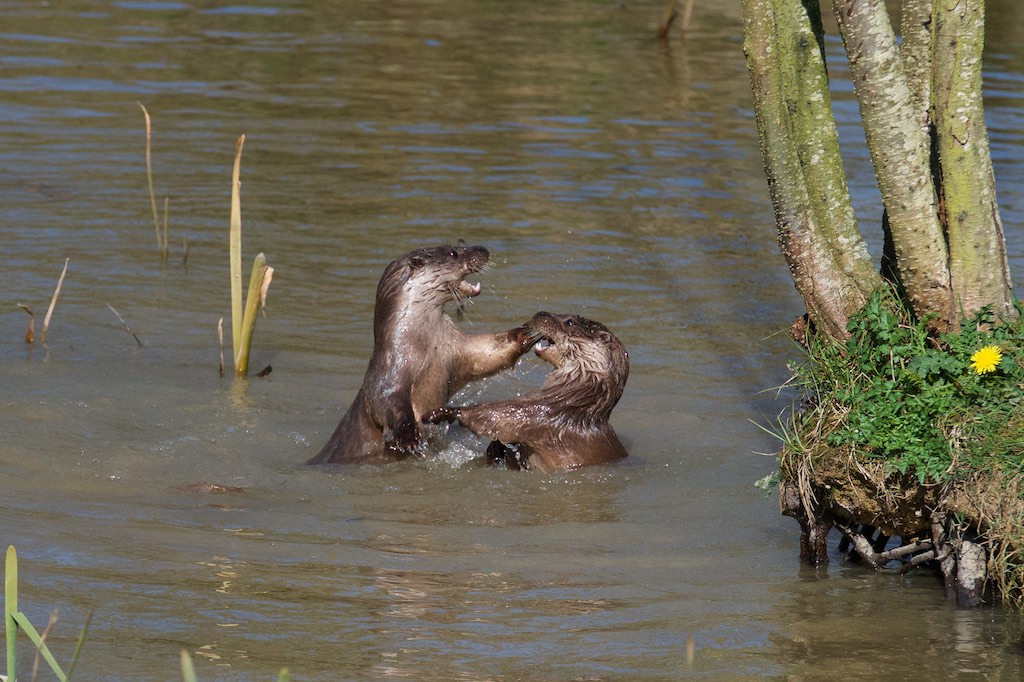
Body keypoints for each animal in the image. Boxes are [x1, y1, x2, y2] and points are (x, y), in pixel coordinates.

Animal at [308, 244, 533, 465]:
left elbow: (487, 355)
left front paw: (526, 332)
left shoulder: (457, 350)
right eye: (454, 252)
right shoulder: (388, 376)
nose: (483, 249)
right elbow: (388, 403)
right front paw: (408, 436)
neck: (422, 347)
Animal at [423, 311, 629, 473]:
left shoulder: (541, 415)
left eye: (570, 322)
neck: (573, 401)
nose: (541, 313)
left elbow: (496, 414)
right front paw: (497, 449)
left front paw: (445, 412)